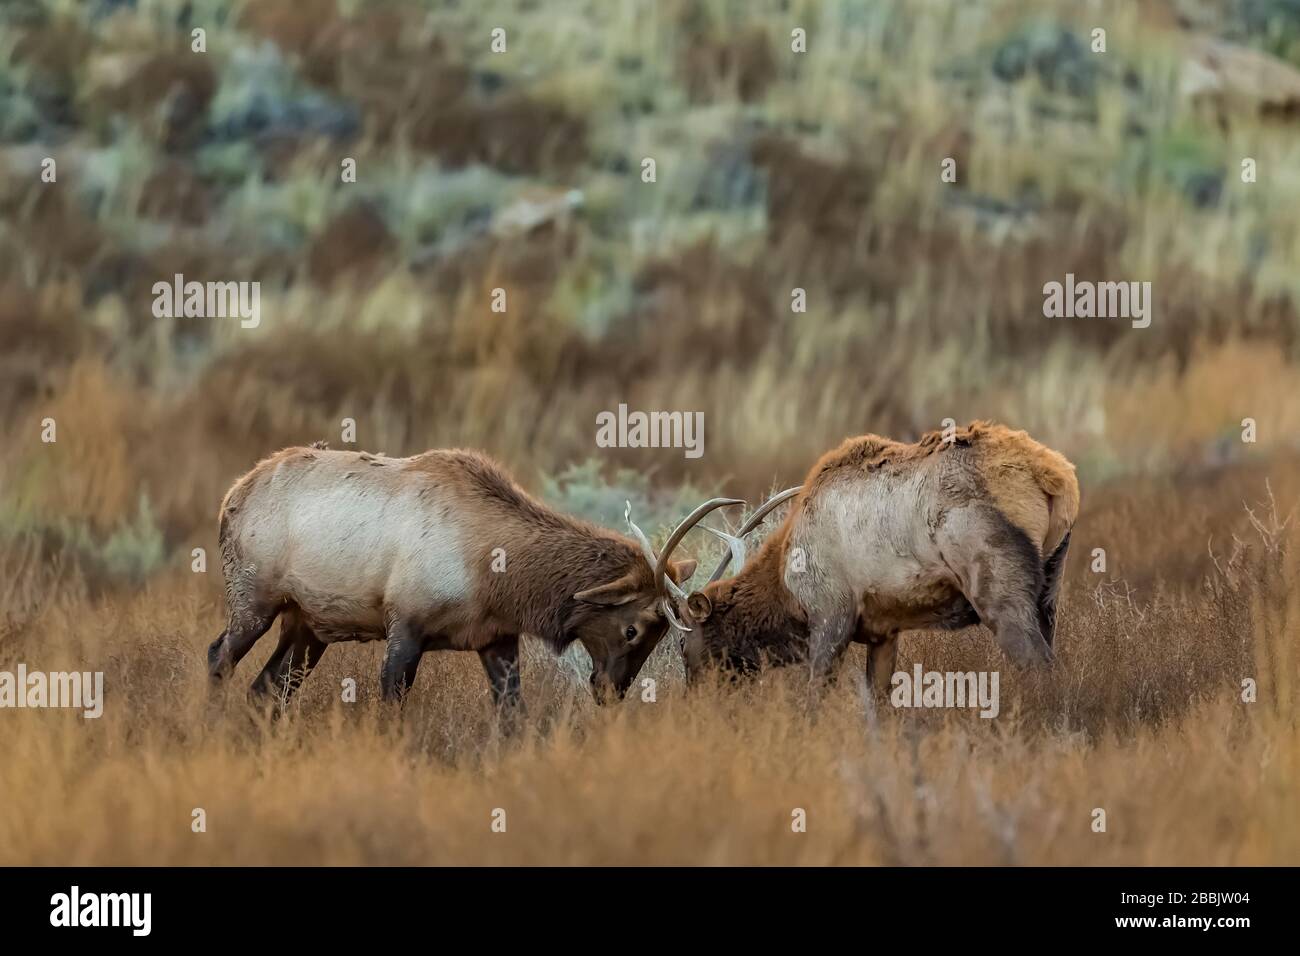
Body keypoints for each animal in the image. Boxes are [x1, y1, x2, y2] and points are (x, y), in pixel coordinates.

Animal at [207, 444, 741, 710]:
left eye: (663, 635)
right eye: (633, 628)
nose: (609, 693)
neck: (496, 578)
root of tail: (230, 496)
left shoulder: (496, 638)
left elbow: (512, 714)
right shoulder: (405, 623)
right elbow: (390, 705)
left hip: (308, 625)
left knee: (264, 691)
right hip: (253, 598)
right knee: (218, 658)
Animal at [673, 422, 1080, 697]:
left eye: (680, 642)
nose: (693, 697)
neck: (786, 587)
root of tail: (1060, 477)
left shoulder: (831, 617)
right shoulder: (884, 631)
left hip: (997, 587)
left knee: (1037, 663)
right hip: (1050, 590)